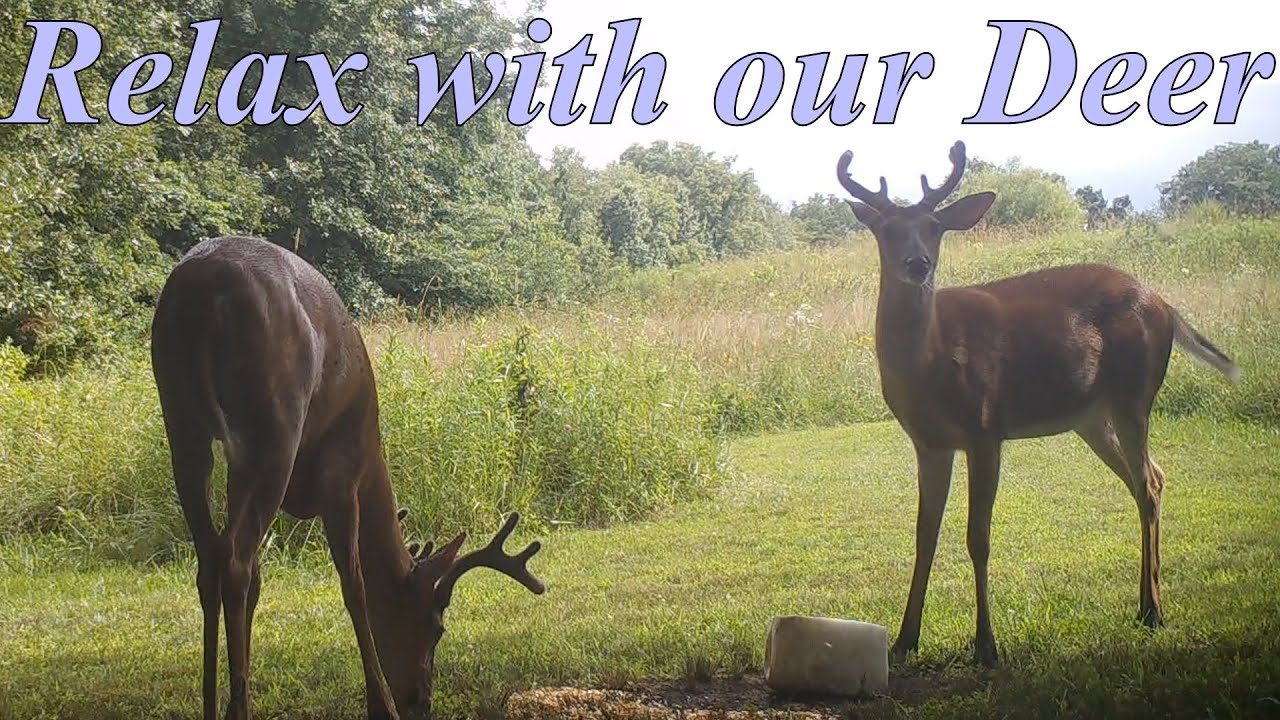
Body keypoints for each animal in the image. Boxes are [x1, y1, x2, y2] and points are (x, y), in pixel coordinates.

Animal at [149, 235, 547, 720]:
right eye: (436, 627)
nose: (421, 701)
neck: (374, 456)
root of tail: (202, 291)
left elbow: (263, 580)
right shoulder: (341, 473)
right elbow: (353, 582)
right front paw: (381, 704)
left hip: (183, 418)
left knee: (211, 557)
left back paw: (212, 703)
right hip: (273, 424)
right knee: (236, 560)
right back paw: (238, 708)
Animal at [834, 141, 1241, 668]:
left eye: (935, 228)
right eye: (885, 230)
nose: (917, 263)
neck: (930, 361)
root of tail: (1165, 303)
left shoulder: (985, 428)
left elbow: (978, 537)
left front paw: (986, 645)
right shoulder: (929, 442)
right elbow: (924, 535)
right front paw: (905, 640)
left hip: (1134, 394)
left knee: (1148, 483)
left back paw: (1154, 612)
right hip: (1092, 418)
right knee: (1150, 476)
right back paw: (1143, 605)